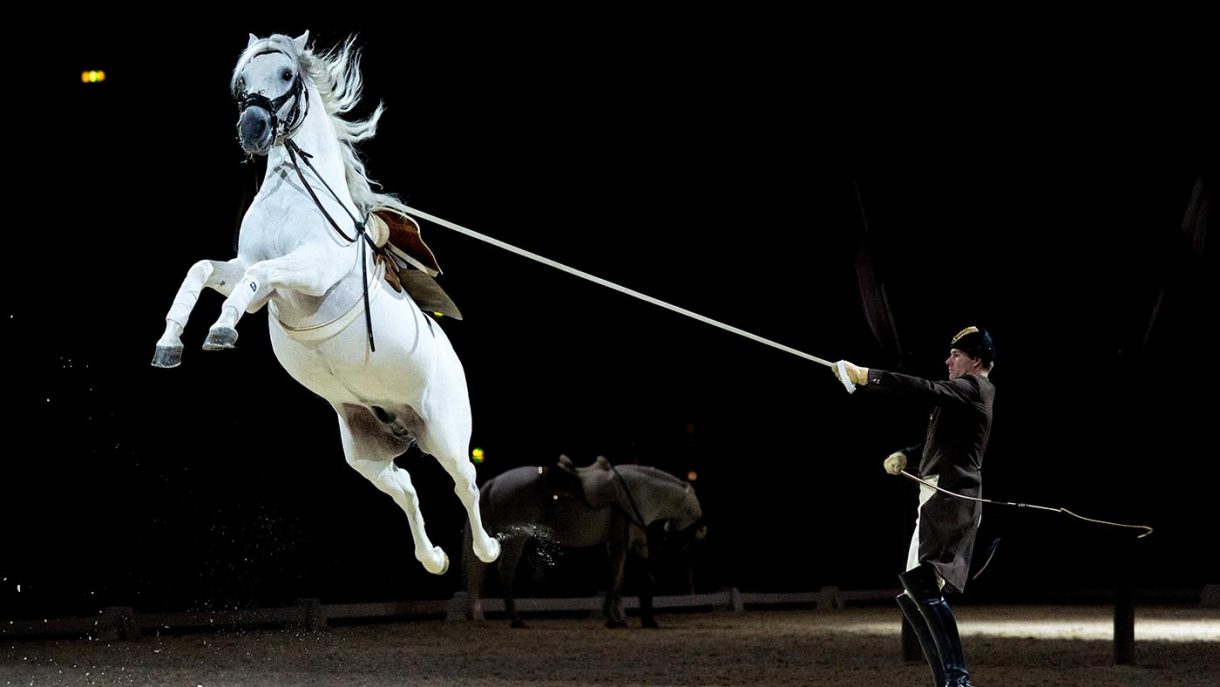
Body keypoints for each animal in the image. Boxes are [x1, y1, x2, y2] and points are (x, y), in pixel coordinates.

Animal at [150, 31, 500, 575]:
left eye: (287, 75)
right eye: (243, 80)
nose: (253, 129)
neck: (294, 191)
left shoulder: (309, 270)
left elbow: (258, 278)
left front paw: (221, 331)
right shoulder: (244, 264)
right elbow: (204, 271)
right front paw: (170, 342)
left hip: (444, 430)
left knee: (465, 482)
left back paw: (487, 549)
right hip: (364, 448)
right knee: (407, 491)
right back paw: (434, 559)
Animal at [463, 457, 705, 628]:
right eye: (695, 504)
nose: (703, 530)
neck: (638, 492)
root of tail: (495, 481)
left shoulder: (633, 541)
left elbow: (631, 578)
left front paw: (637, 619)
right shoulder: (620, 541)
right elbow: (614, 578)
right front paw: (613, 619)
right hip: (517, 538)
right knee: (506, 570)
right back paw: (516, 619)